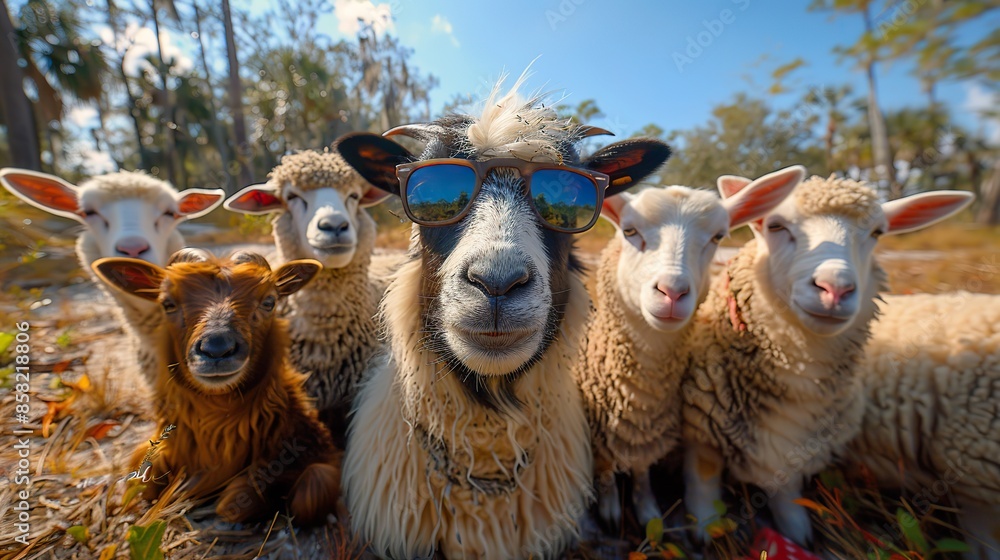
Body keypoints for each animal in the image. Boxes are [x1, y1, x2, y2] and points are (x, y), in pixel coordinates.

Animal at [576, 165, 805, 529]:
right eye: (629, 230)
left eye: (718, 237)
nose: (672, 292)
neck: (638, 400)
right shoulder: (602, 432)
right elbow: (607, 468)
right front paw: (610, 508)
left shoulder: (646, 433)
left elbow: (642, 471)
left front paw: (647, 509)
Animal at [681, 174, 973, 546]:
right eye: (775, 225)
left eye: (877, 232)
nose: (835, 289)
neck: (799, 368)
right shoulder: (700, 429)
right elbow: (702, 482)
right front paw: (704, 529)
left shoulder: (795, 443)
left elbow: (787, 494)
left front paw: (797, 535)